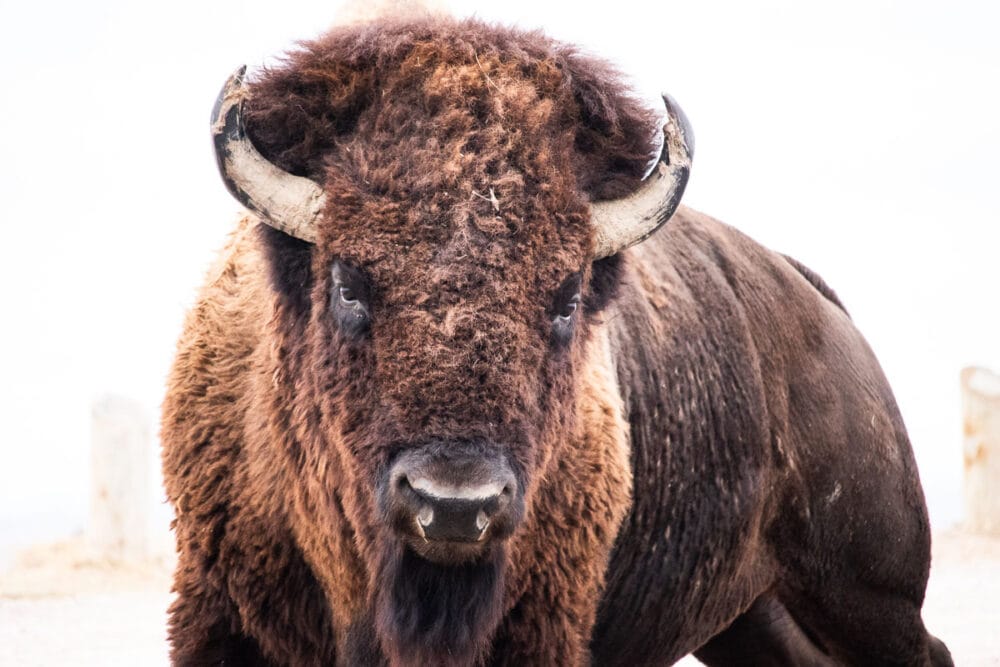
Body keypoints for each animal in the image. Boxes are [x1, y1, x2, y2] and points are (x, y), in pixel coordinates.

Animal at [162, 15, 952, 666]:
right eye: (349, 283)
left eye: (567, 297)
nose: (456, 502)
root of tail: (818, 303)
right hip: (756, 619)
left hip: (870, 593)